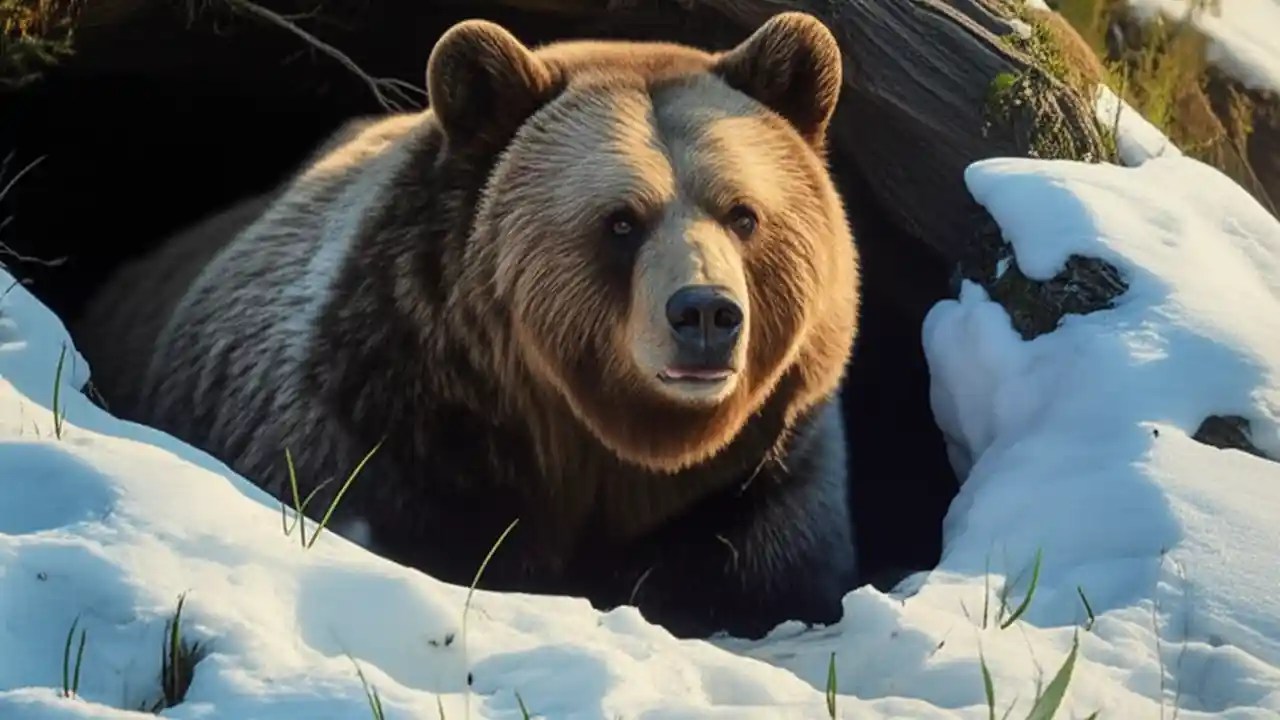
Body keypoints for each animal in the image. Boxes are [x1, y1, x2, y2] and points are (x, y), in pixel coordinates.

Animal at [72, 11, 862, 640]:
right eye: (621, 220)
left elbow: (764, 579)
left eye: (743, 213)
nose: (705, 313)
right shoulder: (380, 434)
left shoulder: (757, 489)